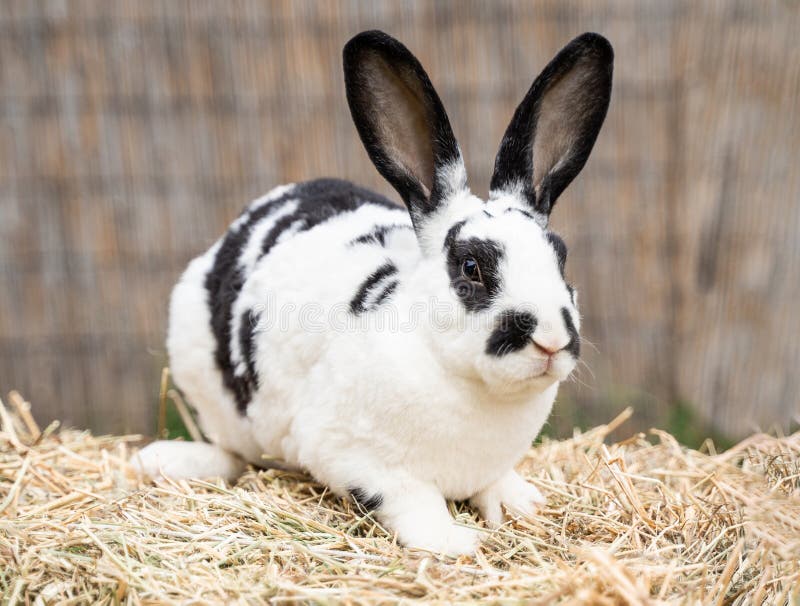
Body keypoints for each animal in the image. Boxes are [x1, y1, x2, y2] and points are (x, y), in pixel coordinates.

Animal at [134, 30, 613, 556]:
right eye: (471, 267)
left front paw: (523, 507)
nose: (551, 340)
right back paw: (162, 460)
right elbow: (412, 500)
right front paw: (456, 542)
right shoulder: (355, 457)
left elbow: (494, 482)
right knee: (233, 452)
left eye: (561, 257)